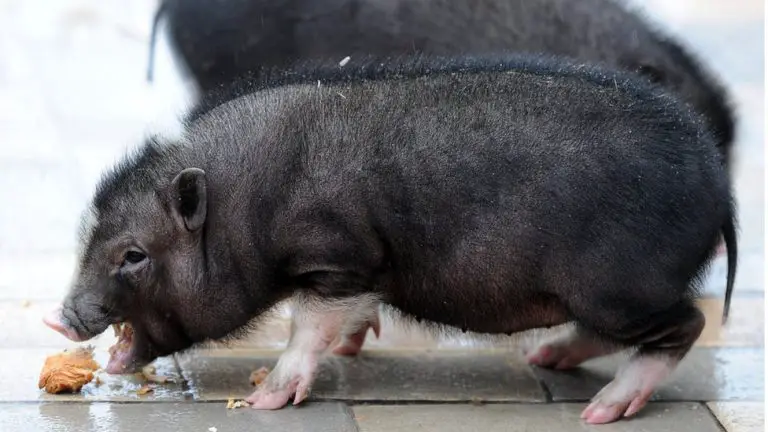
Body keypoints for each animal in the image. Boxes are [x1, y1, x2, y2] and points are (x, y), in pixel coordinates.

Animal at [45, 54, 737, 424]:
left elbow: (308, 326)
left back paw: (601, 411)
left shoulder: (340, 255)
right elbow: (347, 317)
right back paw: (546, 360)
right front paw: (354, 346)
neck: (250, 201)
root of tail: (718, 183)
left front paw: (268, 398)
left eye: (134, 255)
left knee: (687, 325)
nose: (59, 318)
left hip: (617, 286)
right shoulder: (359, 272)